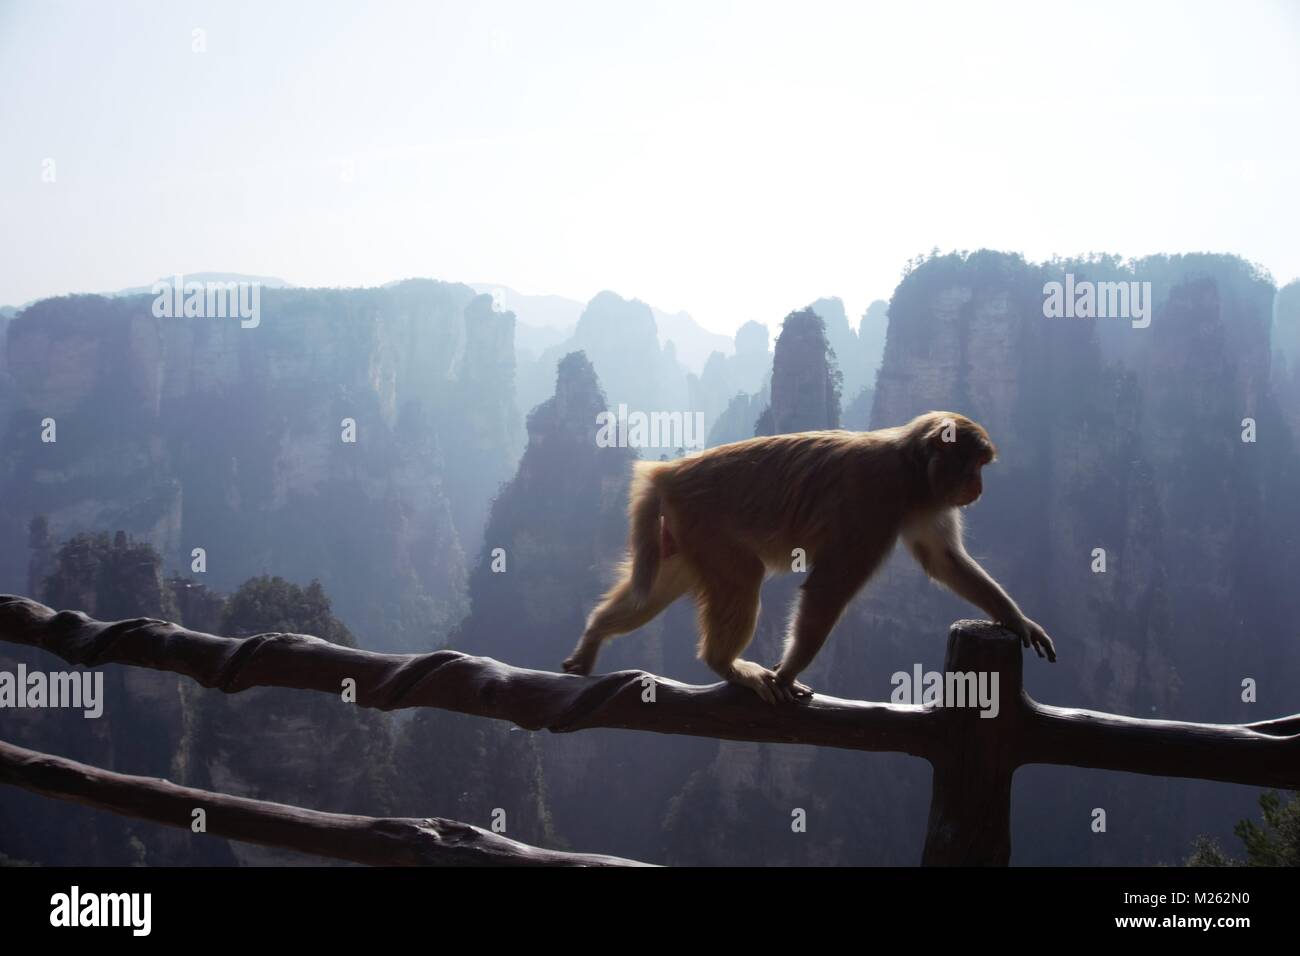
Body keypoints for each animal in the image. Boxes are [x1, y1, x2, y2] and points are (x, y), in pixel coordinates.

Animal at [562, 411, 1056, 704]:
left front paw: (1017, 620)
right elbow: (829, 587)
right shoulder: (874, 501)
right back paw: (725, 665)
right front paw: (787, 672)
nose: (979, 489)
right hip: (706, 524)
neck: (910, 468)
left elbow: (944, 561)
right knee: (744, 576)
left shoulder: (922, 503)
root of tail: (668, 473)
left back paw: (594, 636)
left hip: (682, 535)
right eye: (974, 467)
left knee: (654, 593)